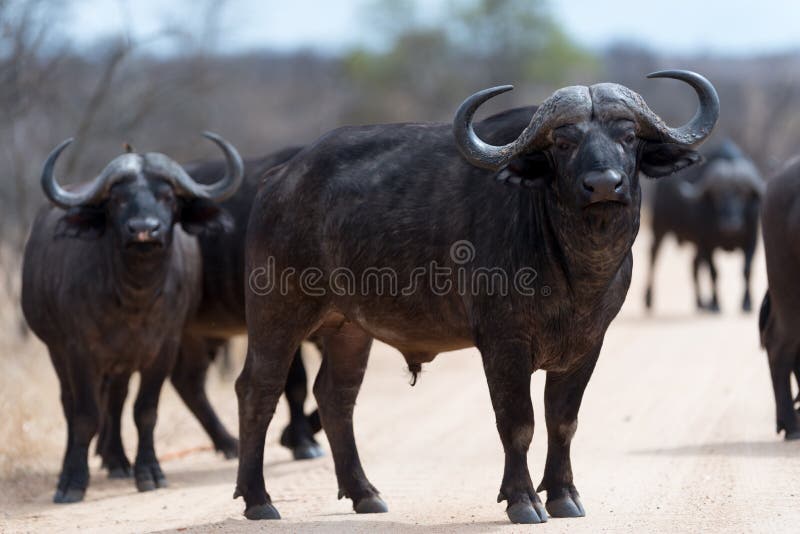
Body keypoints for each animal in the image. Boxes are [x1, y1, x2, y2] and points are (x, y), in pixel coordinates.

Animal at [21, 134, 243, 502]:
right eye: (117, 199)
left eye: (167, 196)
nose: (144, 230)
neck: (134, 298)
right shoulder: (78, 350)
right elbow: (84, 415)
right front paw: (72, 482)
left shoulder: (163, 349)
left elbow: (145, 411)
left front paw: (149, 472)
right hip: (58, 350)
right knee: (71, 404)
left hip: (123, 363)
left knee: (116, 400)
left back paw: (118, 461)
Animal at [233, 70, 719, 524]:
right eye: (564, 142)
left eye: (629, 136)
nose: (603, 184)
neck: (572, 266)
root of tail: (279, 180)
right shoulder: (504, 344)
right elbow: (518, 422)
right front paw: (523, 499)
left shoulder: (587, 344)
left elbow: (563, 420)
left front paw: (563, 495)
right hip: (277, 312)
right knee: (258, 390)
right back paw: (258, 499)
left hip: (348, 328)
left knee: (336, 397)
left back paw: (364, 493)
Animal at [645, 140, 764, 312]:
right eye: (718, 195)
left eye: (743, 195)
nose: (730, 225)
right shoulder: (707, 244)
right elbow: (714, 272)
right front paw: (715, 304)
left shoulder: (752, 241)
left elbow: (746, 270)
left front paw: (747, 303)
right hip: (659, 228)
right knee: (653, 258)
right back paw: (648, 299)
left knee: (693, 266)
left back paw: (701, 302)